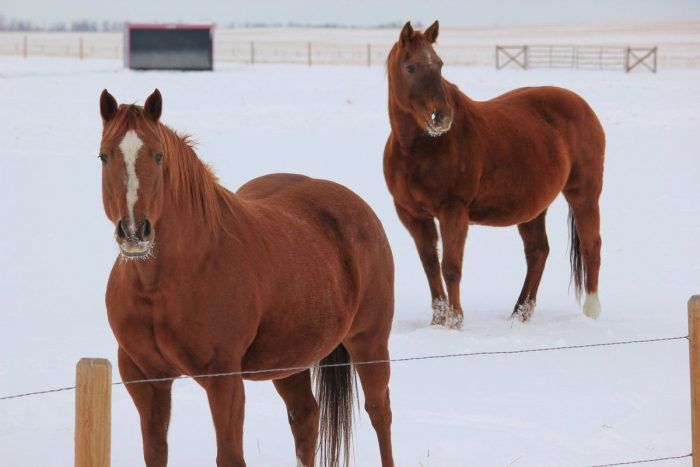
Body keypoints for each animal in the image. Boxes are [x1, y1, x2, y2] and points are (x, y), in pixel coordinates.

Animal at [98, 89, 395, 467]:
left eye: (158, 155)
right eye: (104, 157)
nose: (135, 231)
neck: (161, 285)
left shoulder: (223, 380)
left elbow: (229, 456)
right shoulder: (144, 377)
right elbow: (155, 453)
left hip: (369, 341)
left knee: (379, 412)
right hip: (290, 359)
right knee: (306, 417)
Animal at [383, 21, 605, 328]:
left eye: (439, 65)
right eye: (411, 67)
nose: (443, 117)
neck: (417, 148)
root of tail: (581, 105)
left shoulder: (453, 210)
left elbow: (451, 267)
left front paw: (455, 322)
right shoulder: (412, 215)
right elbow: (430, 266)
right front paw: (437, 322)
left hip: (584, 194)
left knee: (591, 246)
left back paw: (591, 313)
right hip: (533, 207)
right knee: (538, 252)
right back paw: (520, 313)